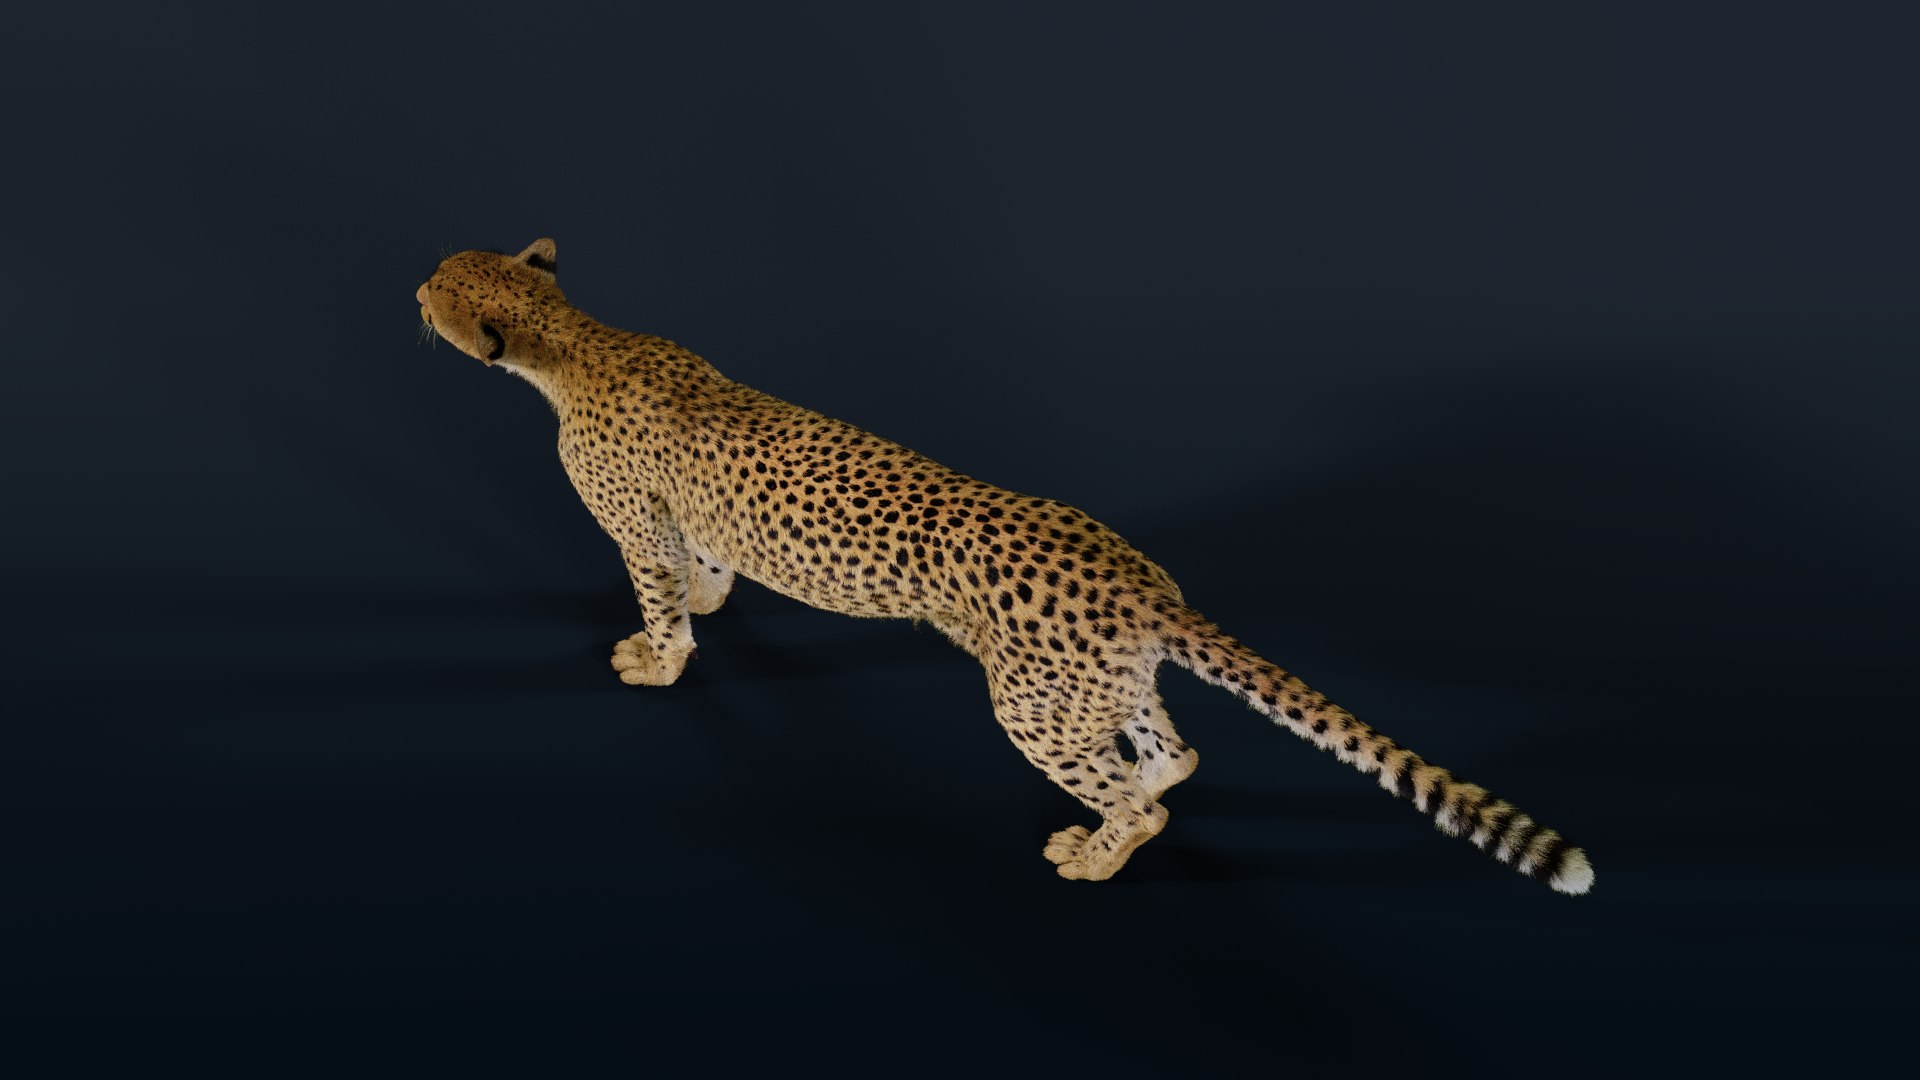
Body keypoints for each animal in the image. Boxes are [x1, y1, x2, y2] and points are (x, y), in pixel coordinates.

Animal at [416, 238, 1595, 894]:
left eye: (435, 285)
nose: (410, 285)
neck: (571, 338)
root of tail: (1135, 578)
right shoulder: (678, 512)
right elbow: (707, 565)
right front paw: (709, 600)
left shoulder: (637, 528)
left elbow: (663, 601)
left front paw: (660, 660)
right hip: (1097, 687)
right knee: (1172, 755)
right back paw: (1141, 789)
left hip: (1031, 706)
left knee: (1138, 798)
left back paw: (1097, 851)